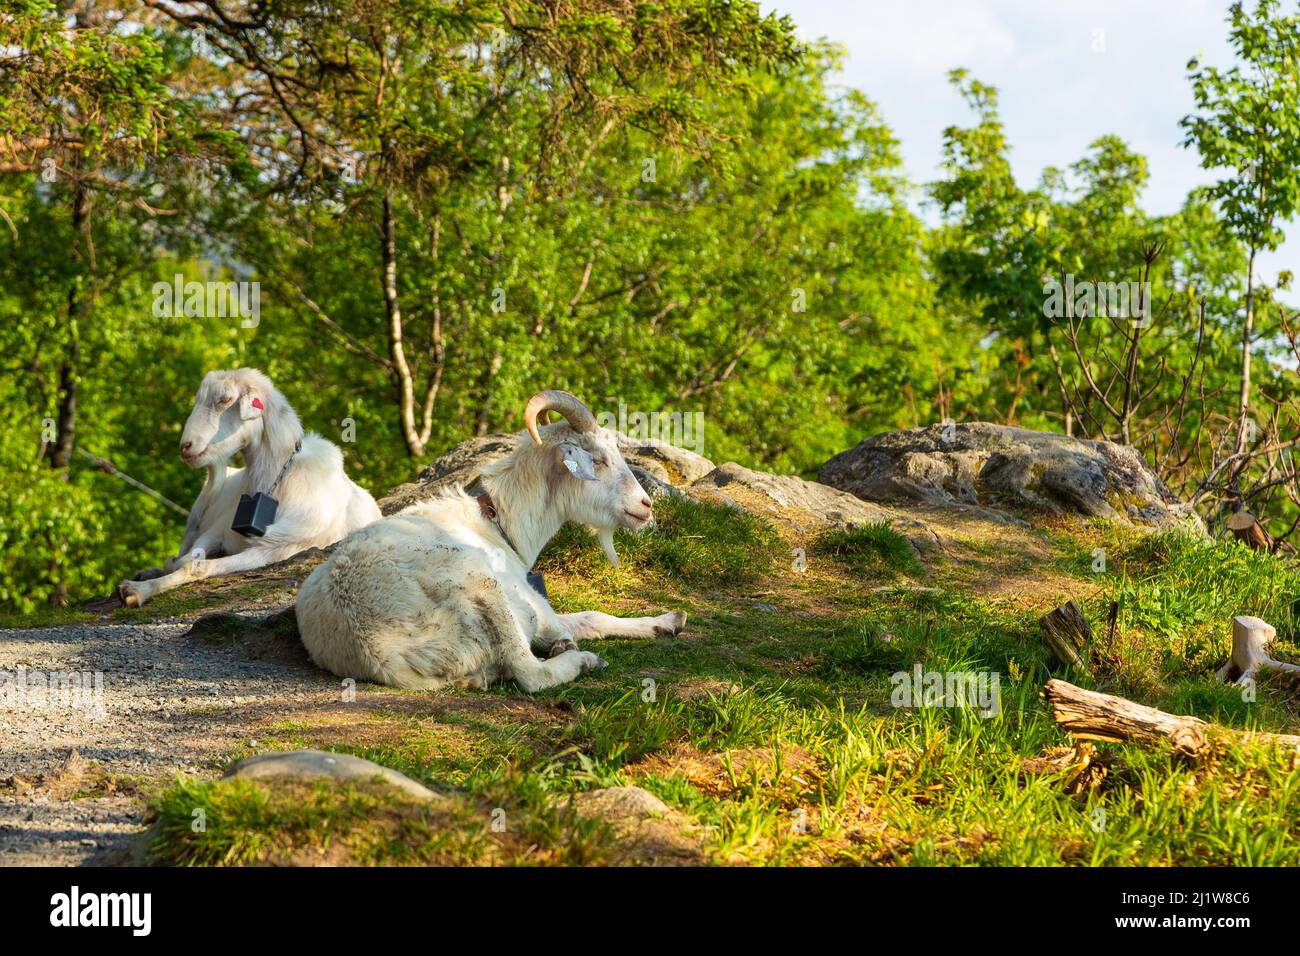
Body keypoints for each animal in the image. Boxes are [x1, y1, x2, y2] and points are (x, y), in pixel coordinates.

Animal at [118, 368, 381, 607]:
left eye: (225, 399)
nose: (186, 447)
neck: (276, 482)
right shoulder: (217, 531)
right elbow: (191, 556)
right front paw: (150, 579)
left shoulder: (275, 549)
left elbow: (197, 567)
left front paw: (135, 591)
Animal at [295, 390, 687, 692]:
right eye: (599, 460)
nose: (646, 505)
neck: (498, 525)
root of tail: (379, 650)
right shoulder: (535, 606)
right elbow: (579, 622)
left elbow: (592, 617)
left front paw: (666, 621)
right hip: (481, 586)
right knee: (531, 674)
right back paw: (581, 661)